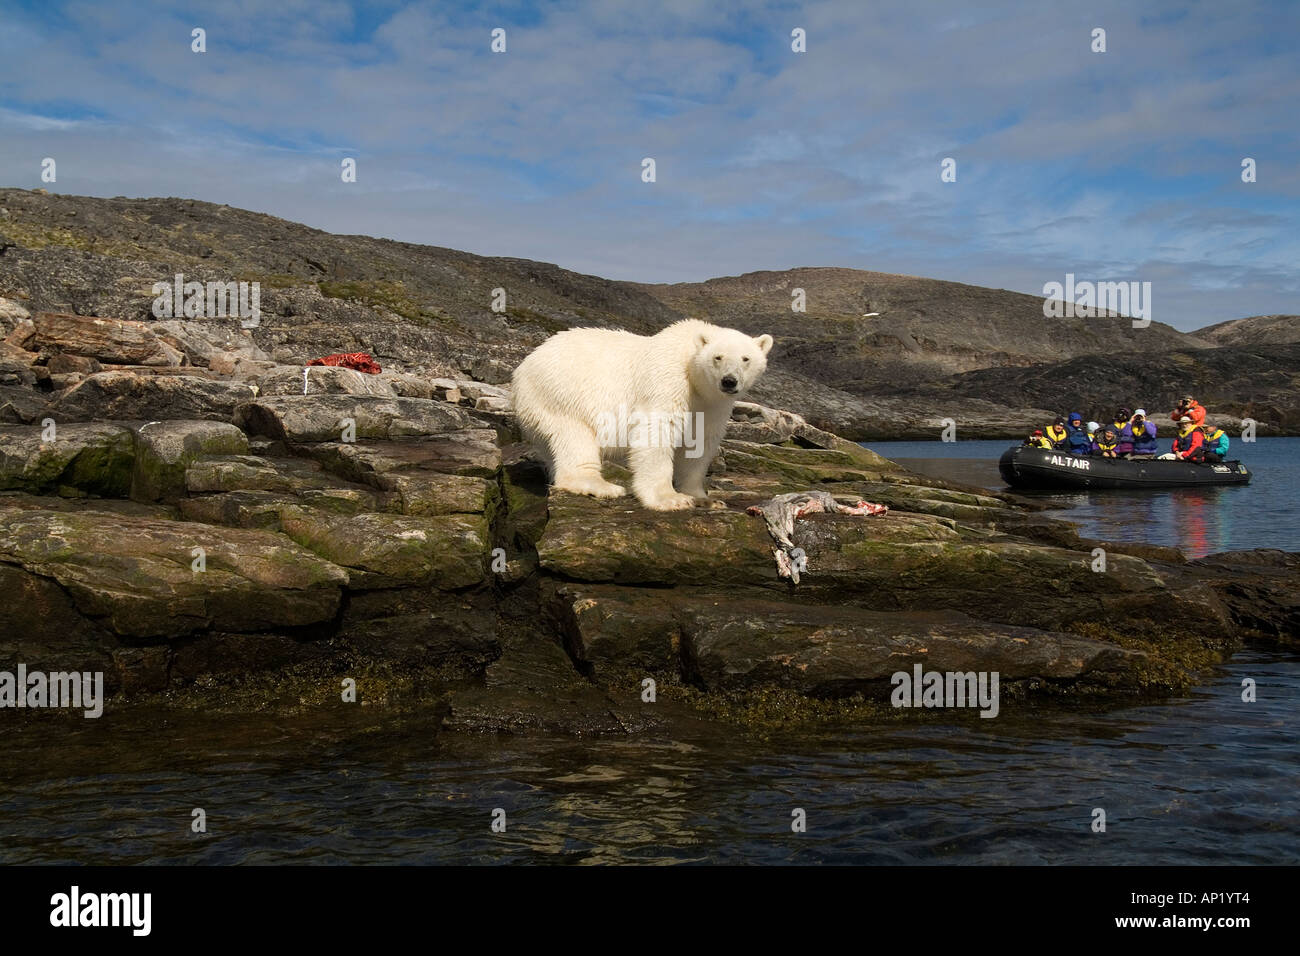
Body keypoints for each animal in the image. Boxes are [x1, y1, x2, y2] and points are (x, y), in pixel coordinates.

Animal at [511, 319, 774, 510]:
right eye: (717, 357)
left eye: (746, 358)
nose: (729, 381)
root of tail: (523, 367)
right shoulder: (668, 380)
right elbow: (656, 430)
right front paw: (670, 499)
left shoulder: (714, 405)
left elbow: (700, 442)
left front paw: (704, 498)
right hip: (561, 392)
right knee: (575, 436)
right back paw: (602, 486)